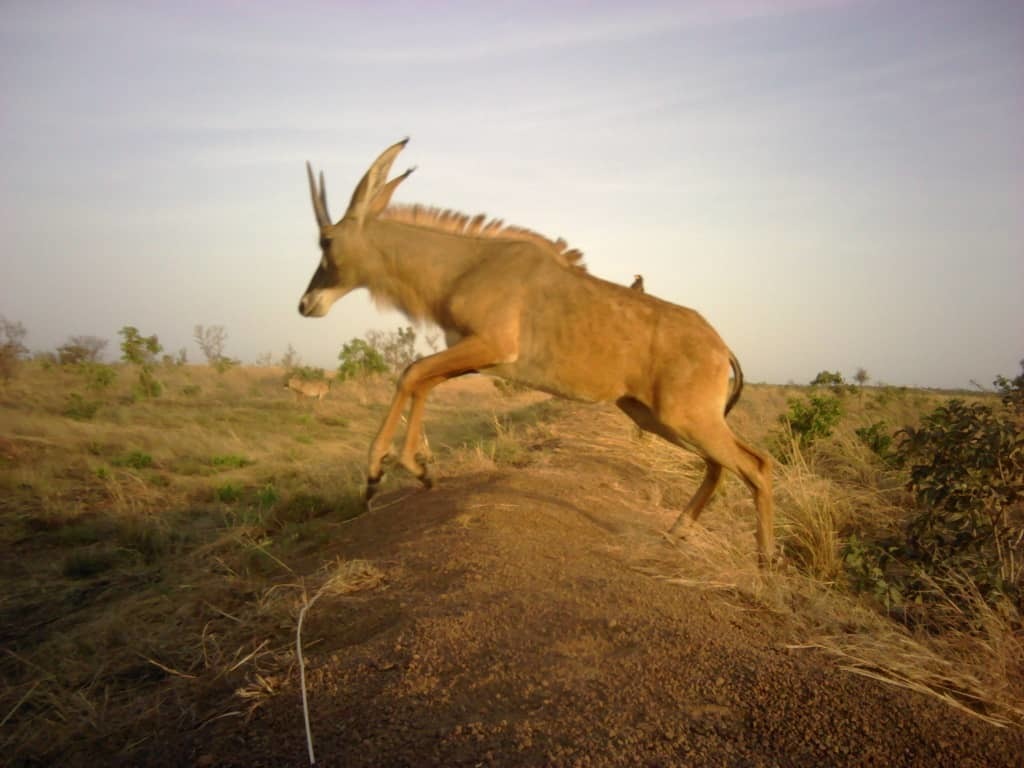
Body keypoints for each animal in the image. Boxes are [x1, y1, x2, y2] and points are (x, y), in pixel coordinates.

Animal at [298, 139, 776, 565]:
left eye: (326, 241)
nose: (306, 304)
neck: (464, 265)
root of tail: (721, 348)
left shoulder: (491, 345)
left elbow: (412, 373)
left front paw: (380, 474)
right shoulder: (479, 355)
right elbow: (422, 379)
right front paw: (420, 468)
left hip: (686, 417)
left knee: (757, 464)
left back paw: (765, 561)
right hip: (654, 417)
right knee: (720, 465)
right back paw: (677, 530)